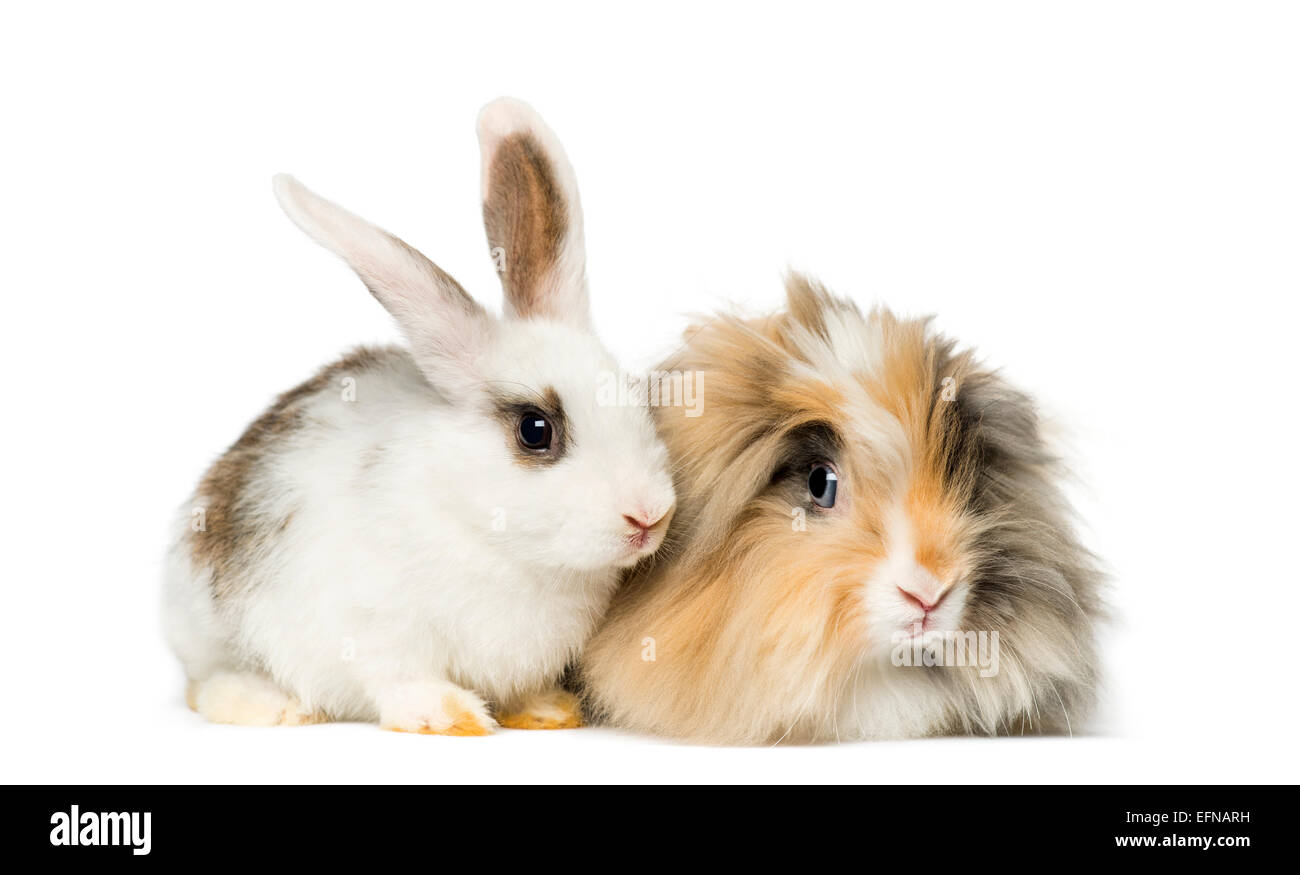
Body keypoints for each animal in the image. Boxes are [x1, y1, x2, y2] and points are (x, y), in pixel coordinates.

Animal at [163, 98, 676, 735]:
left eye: (633, 395)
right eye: (535, 430)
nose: (650, 515)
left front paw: (548, 710)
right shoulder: (374, 625)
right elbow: (401, 678)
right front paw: (454, 716)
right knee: (206, 682)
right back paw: (275, 707)